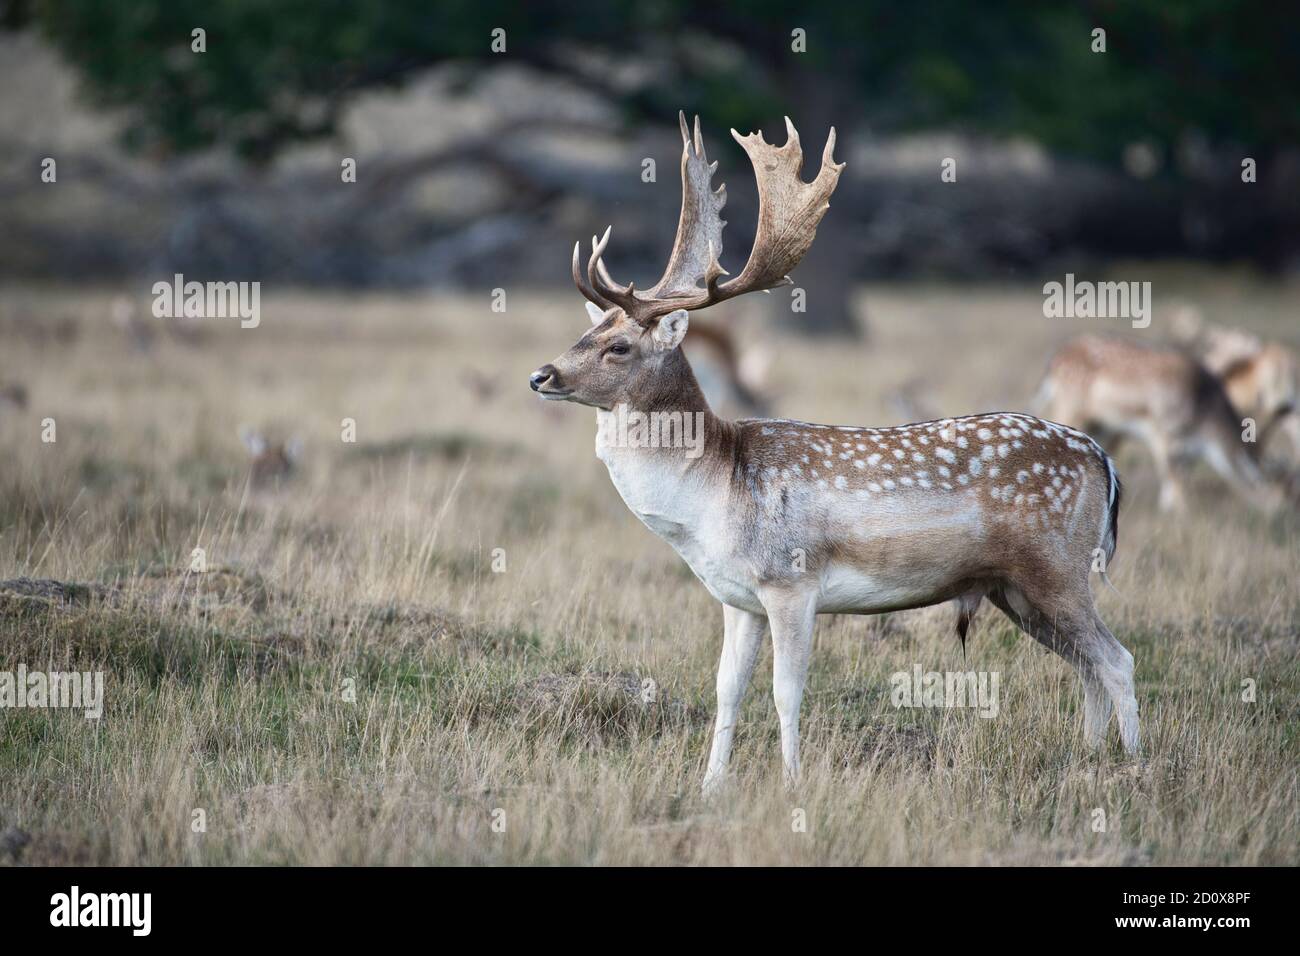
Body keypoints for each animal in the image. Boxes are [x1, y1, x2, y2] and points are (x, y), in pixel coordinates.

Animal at [529, 113, 1138, 792]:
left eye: (619, 347)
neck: (713, 497)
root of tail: (1105, 463)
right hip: (1016, 590)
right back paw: (1087, 759)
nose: (542, 375)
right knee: (1087, 666)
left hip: (1057, 568)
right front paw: (711, 785)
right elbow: (726, 691)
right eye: (586, 332)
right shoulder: (737, 599)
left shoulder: (792, 580)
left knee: (1118, 660)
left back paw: (1138, 766)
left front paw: (792, 782)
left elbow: (785, 691)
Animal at [1033, 335, 1284, 512]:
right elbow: (1173, 476)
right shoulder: (1161, 431)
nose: (1278, 516)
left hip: (1099, 425)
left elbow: (1176, 477)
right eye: (1283, 491)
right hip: (1071, 406)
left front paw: (1168, 508)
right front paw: (1181, 513)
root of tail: (1053, 363)